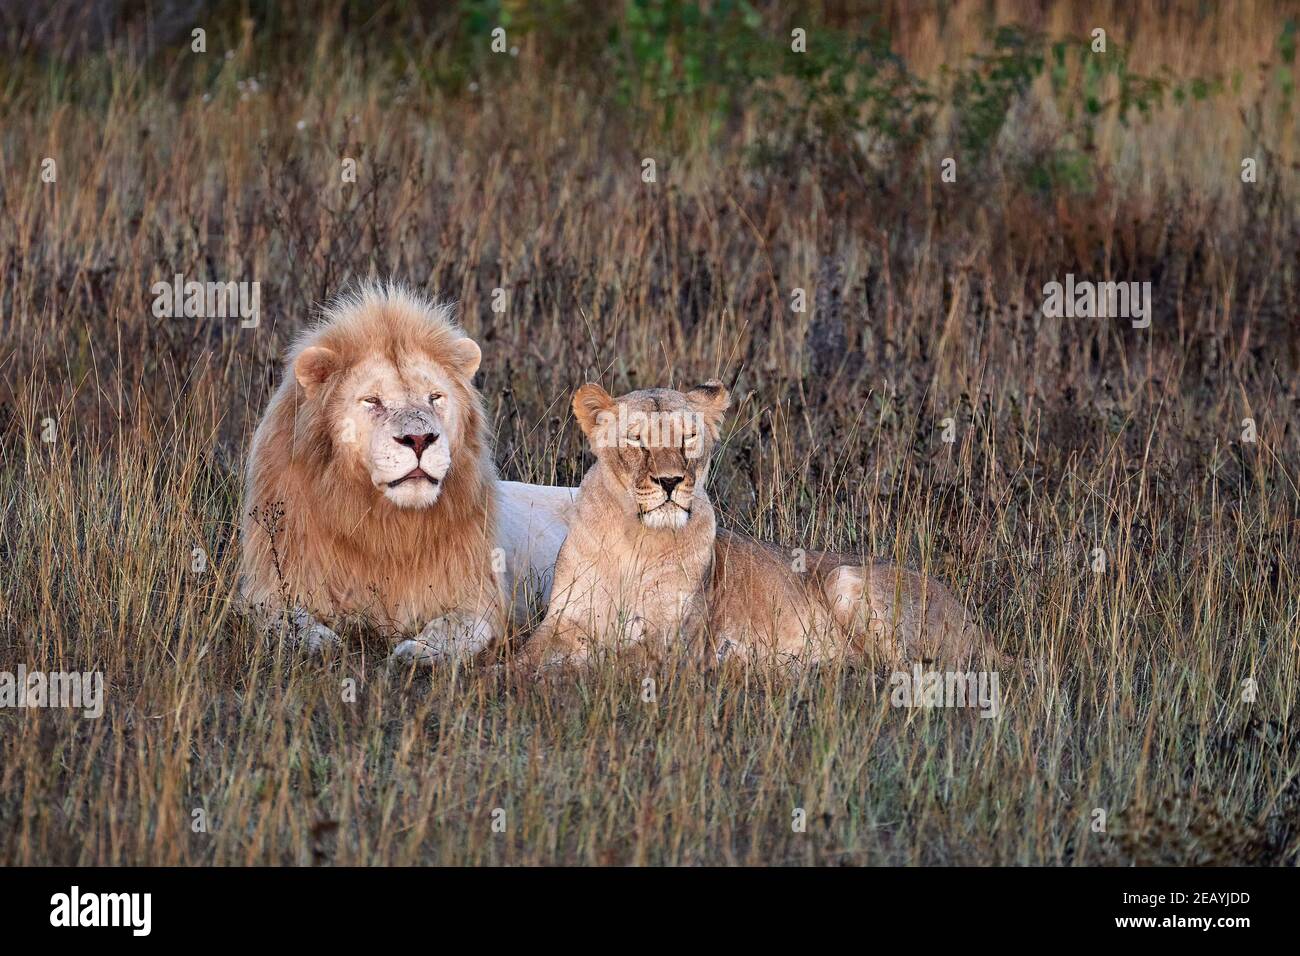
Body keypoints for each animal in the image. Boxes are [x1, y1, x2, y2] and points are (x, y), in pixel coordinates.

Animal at [239, 283, 574, 662]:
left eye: (435, 397)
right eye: (373, 401)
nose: (419, 439)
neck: (387, 526)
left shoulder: (478, 594)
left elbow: (457, 627)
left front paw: (417, 652)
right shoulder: (268, 585)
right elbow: (284, 620)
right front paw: (321, 643)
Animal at [523, 382, 992, 672]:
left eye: (688, 436)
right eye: (636, 439)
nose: (670, 482)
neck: (633, 539)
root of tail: (976, 627)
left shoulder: (674, 640)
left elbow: (609, 663)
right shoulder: (563, 619)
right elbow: (527, 654)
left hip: (845, 578)